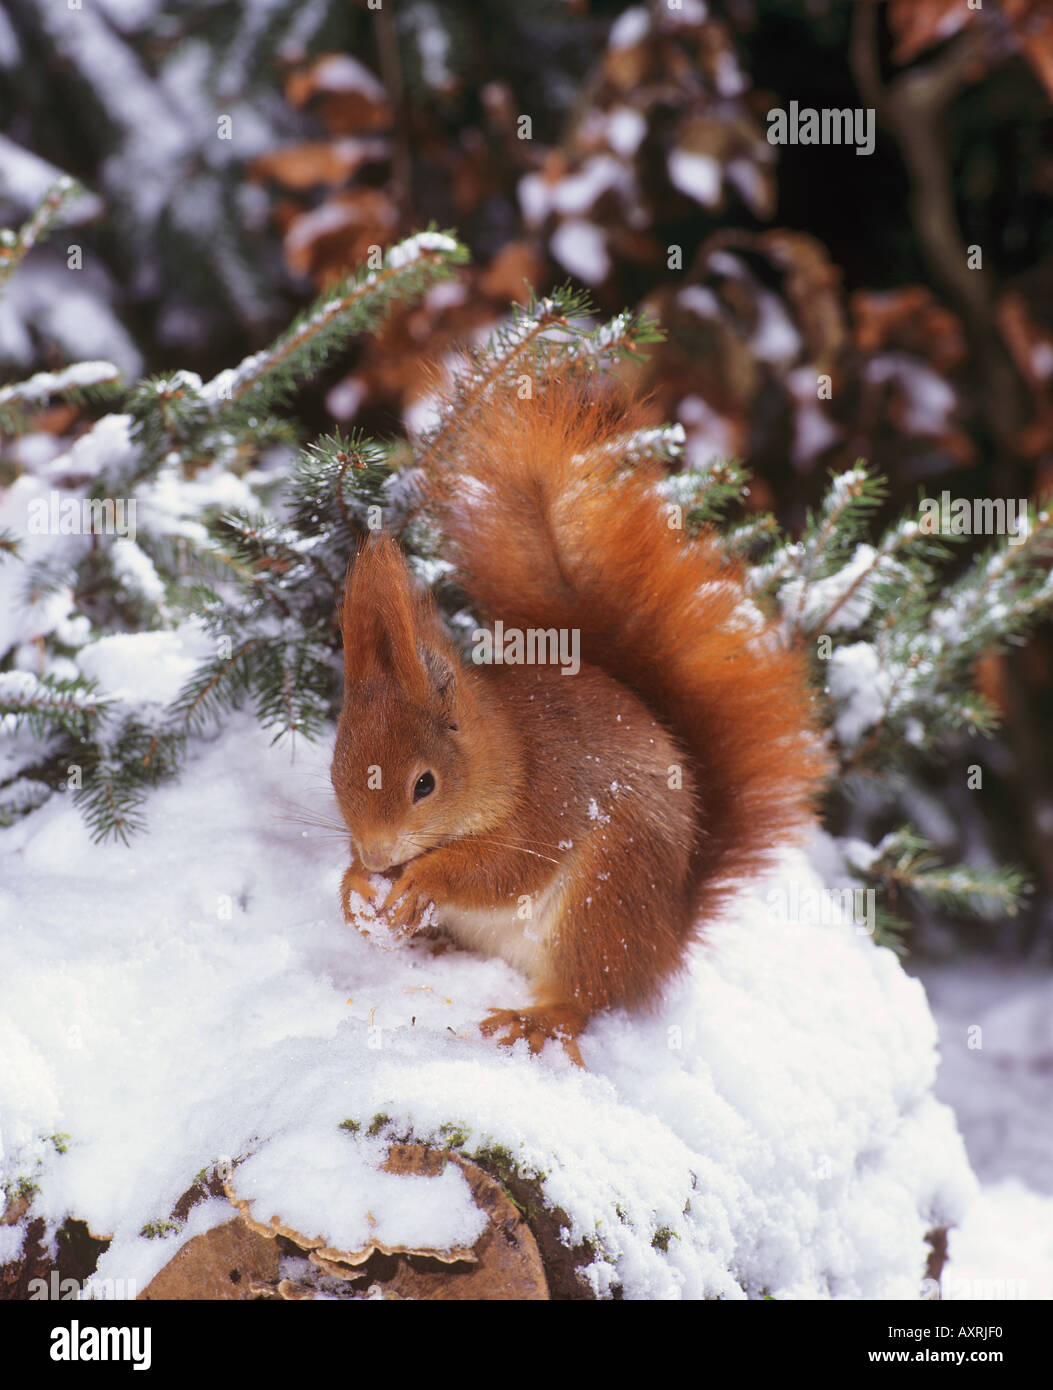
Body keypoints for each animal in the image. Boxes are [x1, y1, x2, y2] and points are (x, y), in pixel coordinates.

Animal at [331, 378, 829, 1063]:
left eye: (424, 785)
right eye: (335, 772)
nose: (378, 855)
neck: (508, 753)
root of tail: (665, 941)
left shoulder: (549, 805)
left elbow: (499, 871)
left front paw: (421, 880)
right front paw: (355, 888)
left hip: (603, 903)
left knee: (586, 996)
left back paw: (534, 1020)